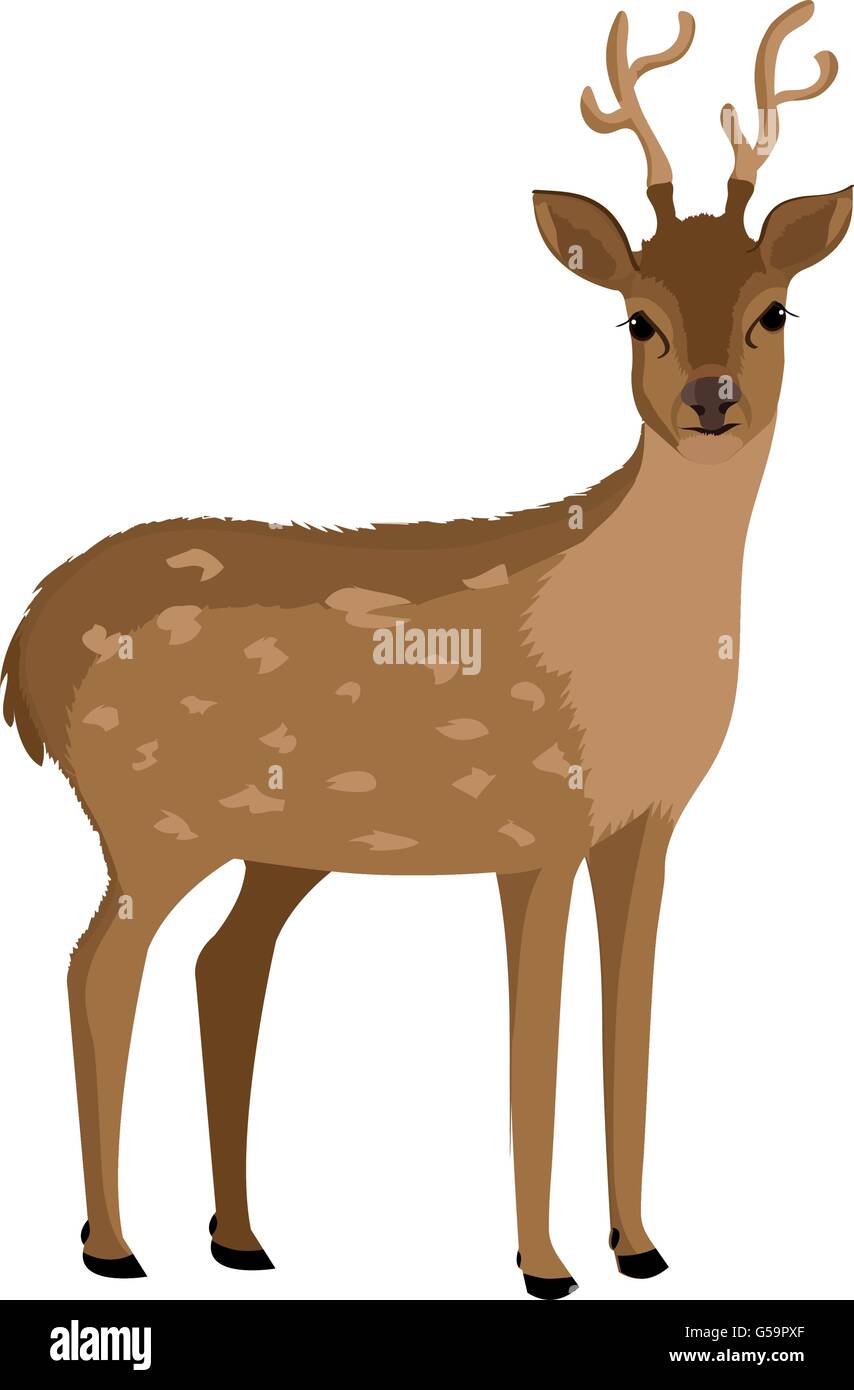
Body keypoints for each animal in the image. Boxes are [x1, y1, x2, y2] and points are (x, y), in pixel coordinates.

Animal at [2, 1, 850, 1299]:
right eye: (634, 316)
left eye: (773, 308)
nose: (709, 398)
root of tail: (27, 656)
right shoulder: (532, 816)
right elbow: (530, 1037)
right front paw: (543, 1263)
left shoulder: (644, 822)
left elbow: (630, 1019)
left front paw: (641, 1245)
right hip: (148, 819)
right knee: (95, 965)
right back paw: (111, 1245)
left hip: (269, 842)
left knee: (221, 965)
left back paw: (240, 1236)